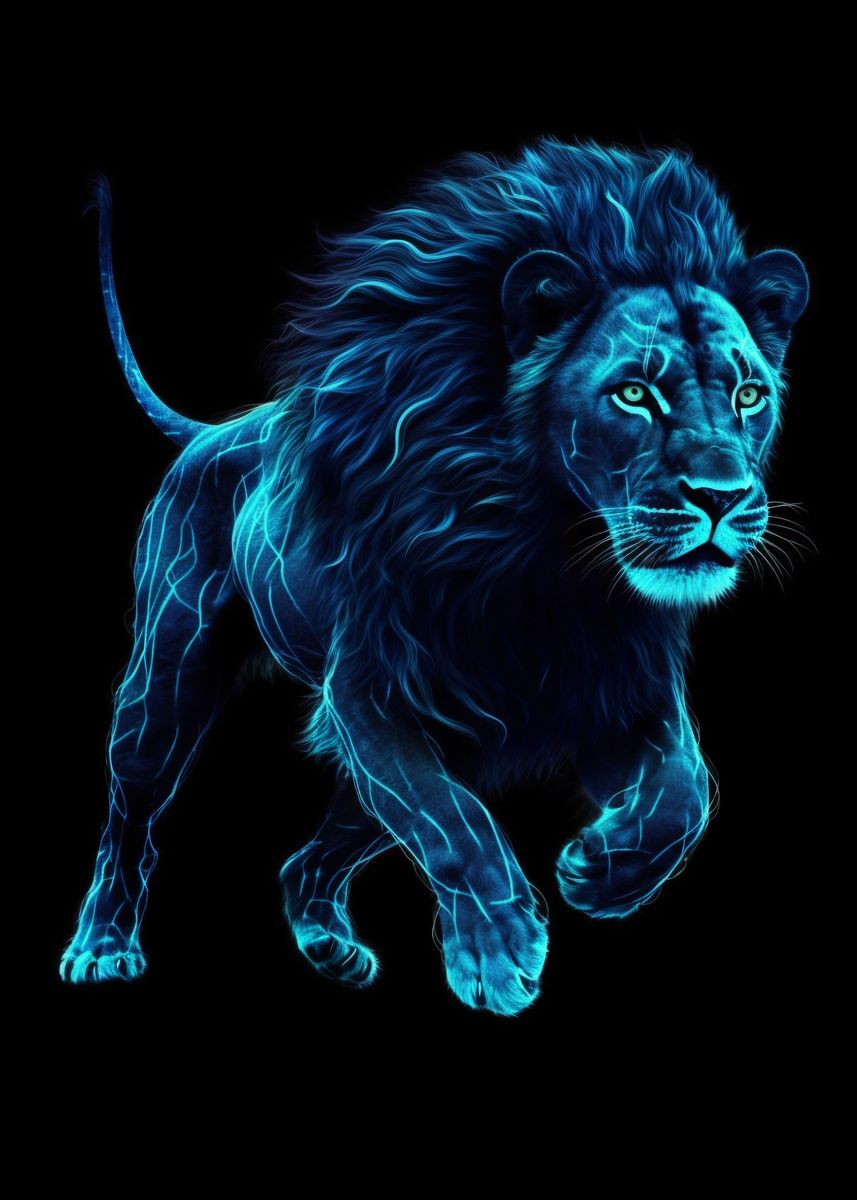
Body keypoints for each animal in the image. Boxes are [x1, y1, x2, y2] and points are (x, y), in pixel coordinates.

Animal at [60, 138, 809, 1015]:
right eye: (633, 393)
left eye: (748, 394)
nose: (721, 498)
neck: (549, 564)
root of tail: (217, 428)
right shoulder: (369, 691)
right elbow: (451, 826)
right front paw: (496, 952)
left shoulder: (611, 691)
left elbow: (684, 794)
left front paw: (601, 872)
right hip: (166, 680)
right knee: (130, 818)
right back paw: (101, 946)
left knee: (305, 859)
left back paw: (330, 946)